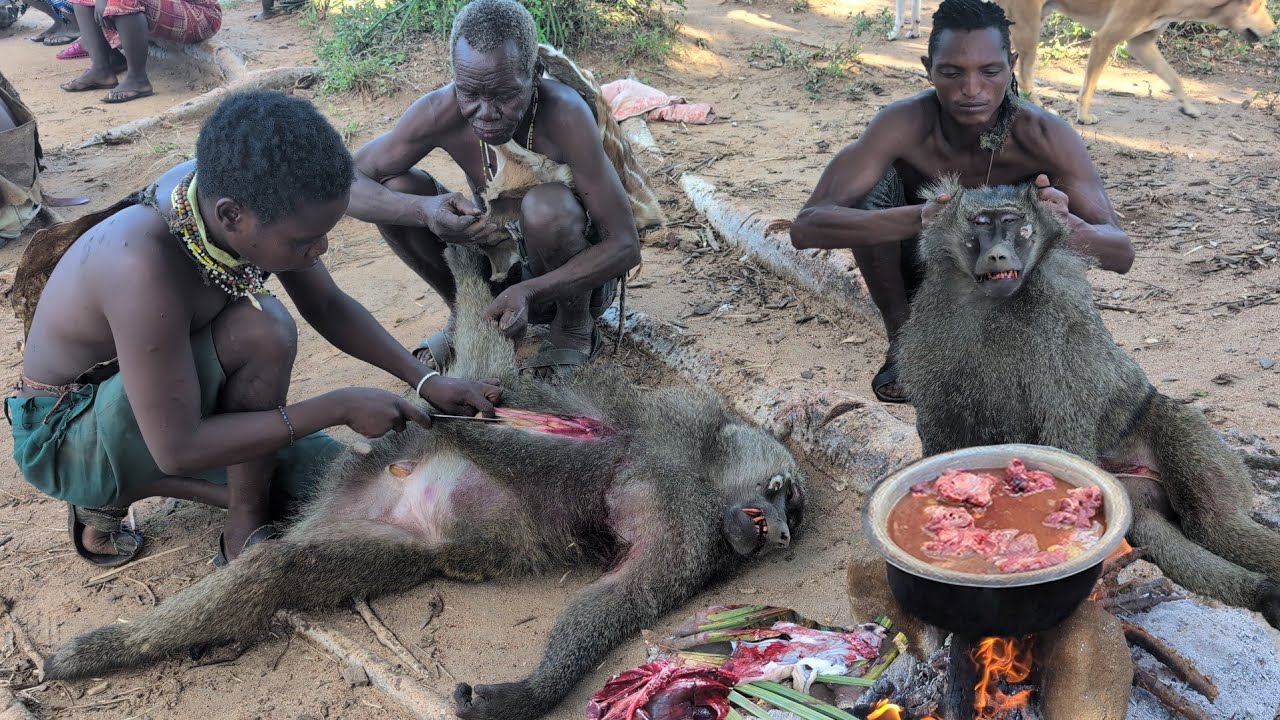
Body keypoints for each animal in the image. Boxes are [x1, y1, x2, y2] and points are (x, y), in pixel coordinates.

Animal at [42, 243, 807, 720]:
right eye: (786, 493)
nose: (784, 532)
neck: (704, 471)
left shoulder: (688, 544)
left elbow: (619, 599)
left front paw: (525, 694)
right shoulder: (663, 431)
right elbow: (586, 452)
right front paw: (469, 425)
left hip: (385, 536)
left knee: (279, 570)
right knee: (490, 361)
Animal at [886, 176, 1280, 628]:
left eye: (1012, 223)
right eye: (982, 224)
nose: (998, 253)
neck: (991, 302)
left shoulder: (1060, 323)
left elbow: (1066, 426)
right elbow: (941, 425)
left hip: (1172, 427)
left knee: (1215, 526)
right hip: (1135, 496)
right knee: (1168, 531)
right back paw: (1263, 591)